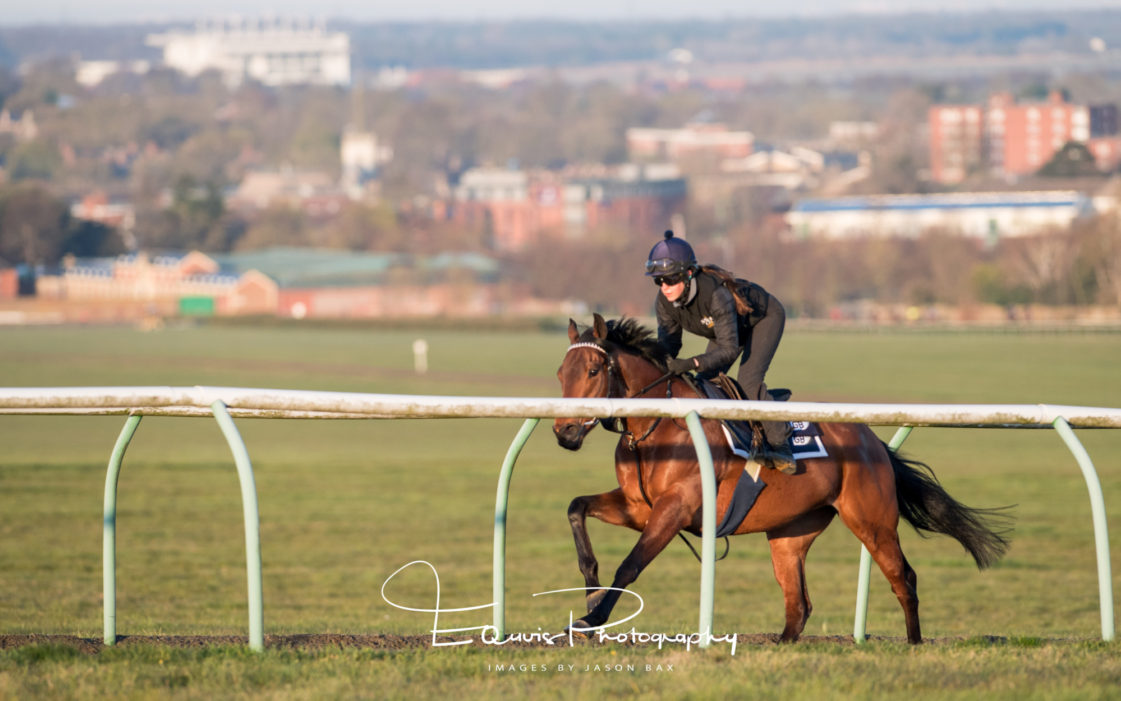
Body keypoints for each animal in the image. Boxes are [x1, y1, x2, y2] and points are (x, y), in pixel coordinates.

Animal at [553, 313, 1011, 643]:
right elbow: (576, 508)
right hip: (791, 534)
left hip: (873, 520)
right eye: (560, 372)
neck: (660, 425)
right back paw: (782, 644)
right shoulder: (637, 505)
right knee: (799, 603)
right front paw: (590, 586)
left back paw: (914, 644)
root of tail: (872, 439)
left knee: (903, 577)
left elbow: (630, 565)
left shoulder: (675, 508)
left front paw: (592, 618)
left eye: (593, 371)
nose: (564, 432)